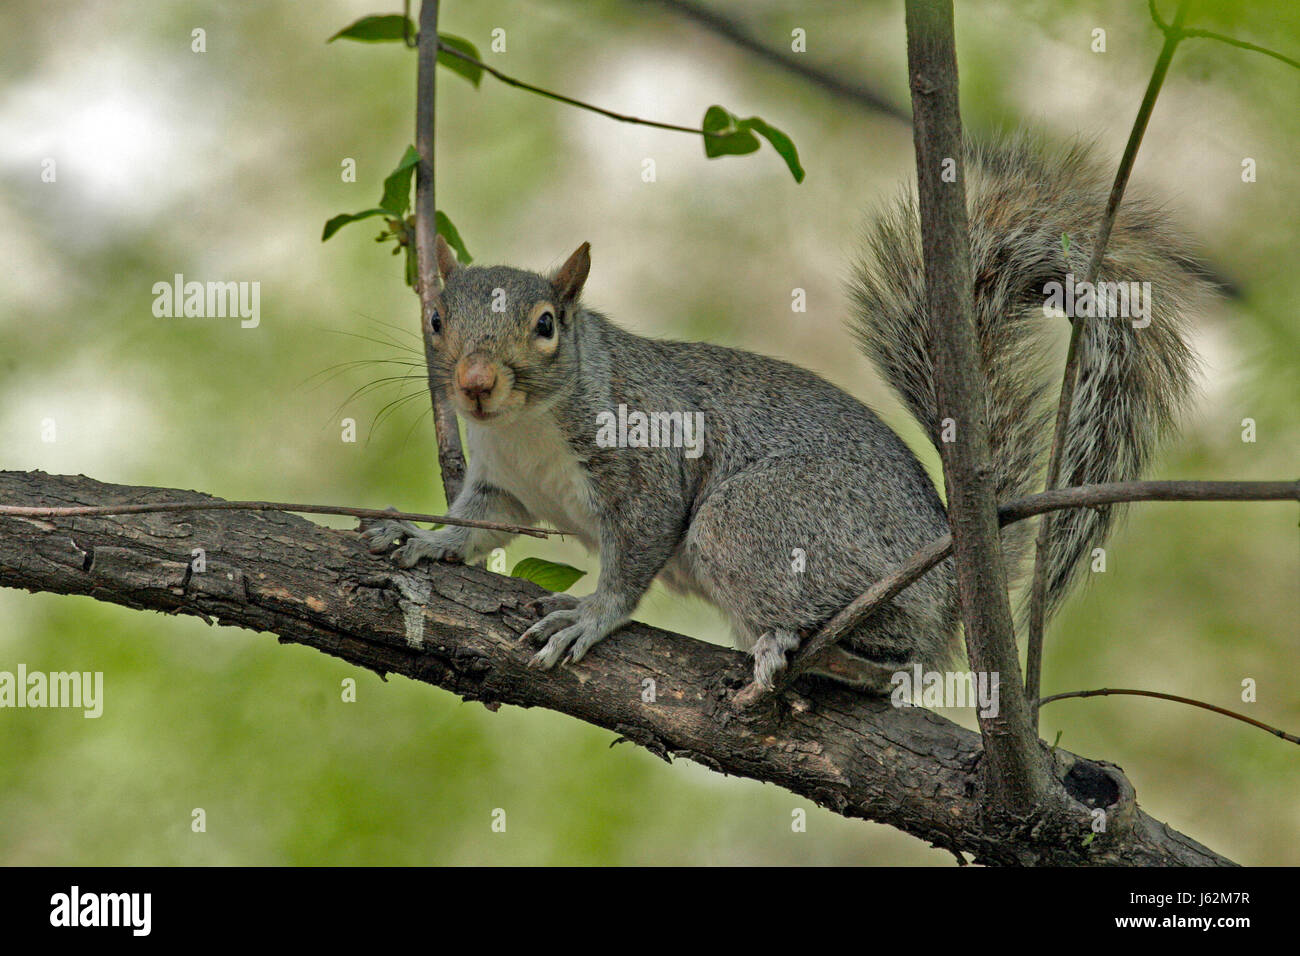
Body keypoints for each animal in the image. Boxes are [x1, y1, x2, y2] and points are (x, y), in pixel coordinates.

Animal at [362, 135, 1202, 691]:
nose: (474, 382)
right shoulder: (502, 483)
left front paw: (591, 613)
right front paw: (423, 539)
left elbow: (633, 557)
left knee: (894, 650)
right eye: (435, 317)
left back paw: (803, 645)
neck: (523, 428)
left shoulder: (646, 459)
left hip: (760, 523)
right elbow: (478, 526)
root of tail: (950, 571)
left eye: (546, 325)